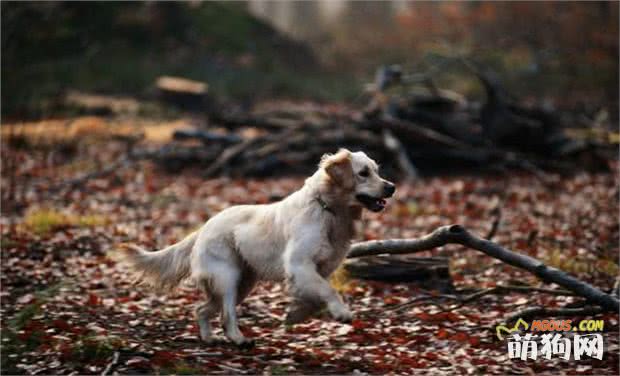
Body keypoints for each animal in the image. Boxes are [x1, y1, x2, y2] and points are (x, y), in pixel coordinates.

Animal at [118, 149, 394, 346]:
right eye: (363, 173)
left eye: (377, 170)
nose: (391, 187)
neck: (327, 209)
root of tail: (204, 227)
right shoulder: (299, 264)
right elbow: (329, 291)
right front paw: (341, 312)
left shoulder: (317, 270)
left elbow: (314, 297)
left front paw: (295, 315)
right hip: (228, 277)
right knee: (226, 314)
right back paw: (238, 339)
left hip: (243, 284)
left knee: (202, 310)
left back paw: (210, 338)